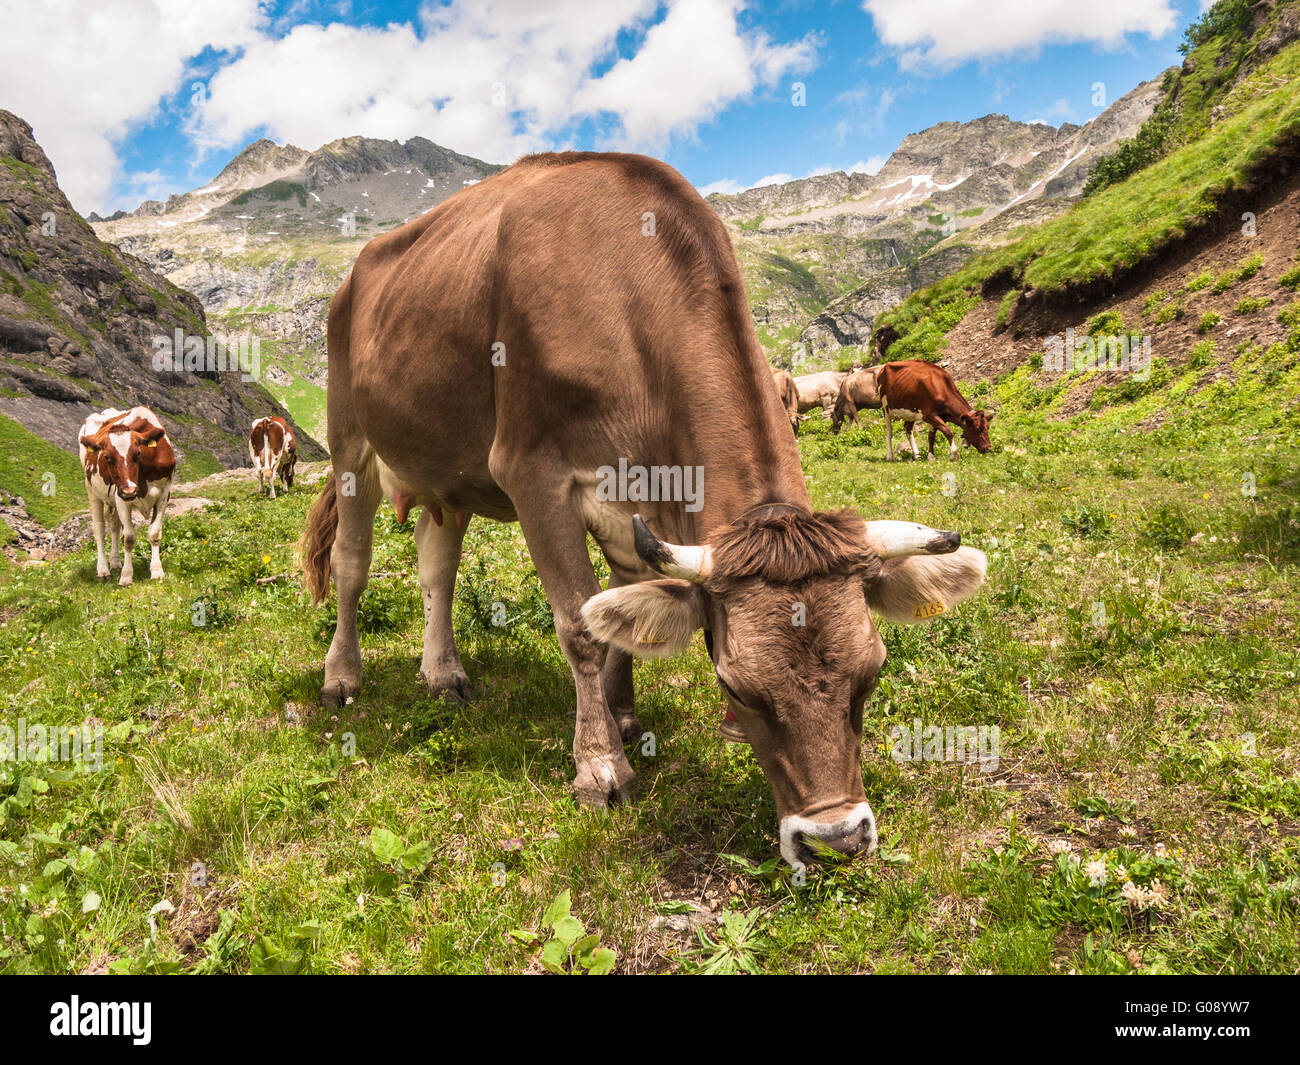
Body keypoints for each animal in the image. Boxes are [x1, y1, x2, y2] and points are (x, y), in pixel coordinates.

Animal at [78, 406, 176, 586]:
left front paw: (157, 571)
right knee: (99, 529)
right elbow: (129, 538)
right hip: (92, 491)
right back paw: (103, 570)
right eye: (107, 457)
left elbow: (154, 534)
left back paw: (115, 562)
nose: (129, 490)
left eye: (137, 453)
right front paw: (126, 576)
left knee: (114, 525)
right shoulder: (121, 496)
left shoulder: (164, 494)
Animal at [300, 152, 987, 868]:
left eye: (872, 674)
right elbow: (579, 626)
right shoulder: (532, 472)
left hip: (445, 475)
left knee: (437, 565)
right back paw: (342, 678)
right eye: (736, 688)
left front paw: (623, 718)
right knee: (351, 563)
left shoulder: (637, 500)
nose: (837, 838)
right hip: (351, 441)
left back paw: (443, 674)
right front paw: (600, 767)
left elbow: (619, 613)